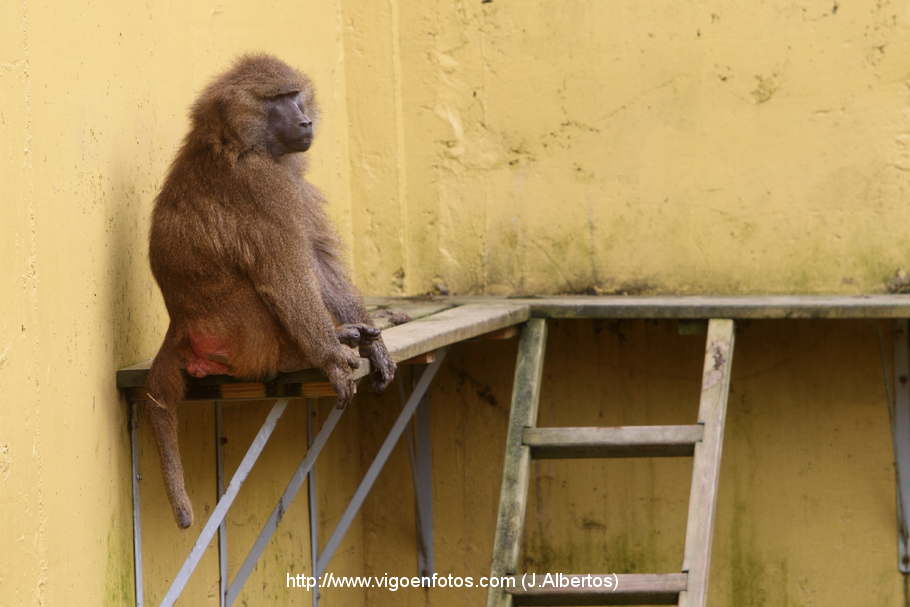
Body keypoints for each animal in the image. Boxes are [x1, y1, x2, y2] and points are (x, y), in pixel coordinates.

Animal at [144, 54, 396, 529]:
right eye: (278, 99)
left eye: (296, 95)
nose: (305, 120)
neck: (236, 143)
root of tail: (178, 326)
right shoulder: (261, 185)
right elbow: (286, 270)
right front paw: (332, 359)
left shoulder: (287, 180)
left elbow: (317, 259)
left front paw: (376, 345)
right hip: (234, 333)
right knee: (262, 294)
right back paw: (301, 354)